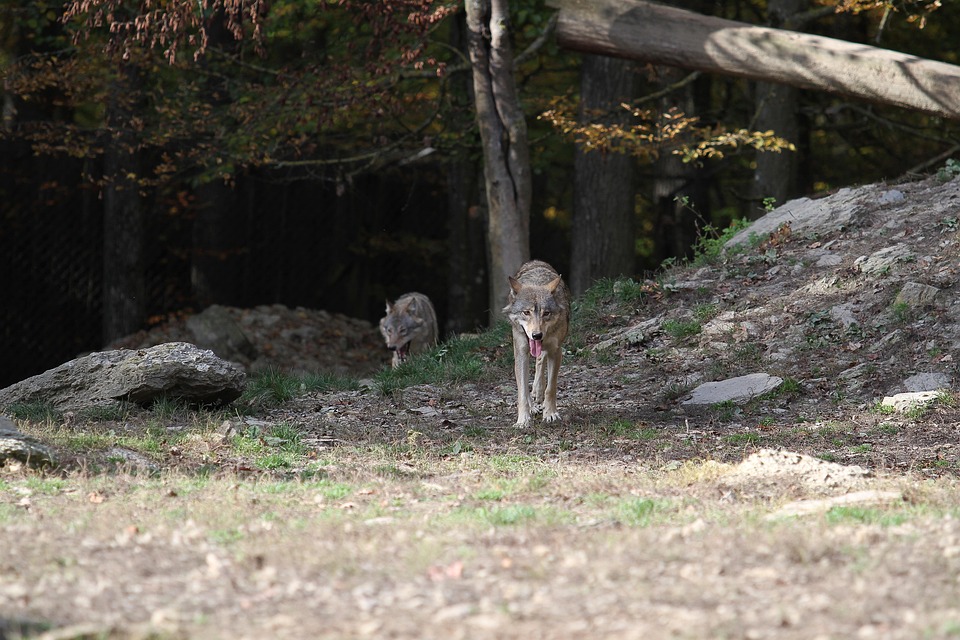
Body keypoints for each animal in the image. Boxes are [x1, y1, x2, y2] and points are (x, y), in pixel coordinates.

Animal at [502, 260, 570, 427]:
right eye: (526, 312)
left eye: (546, 313)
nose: (537, 335)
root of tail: (536, 261)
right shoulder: (521, 353)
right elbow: (522, 391)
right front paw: (523, 420)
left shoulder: (556, 351)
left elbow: (550, 388)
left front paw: (550, 413)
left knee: (540, 361)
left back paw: (538, 393)